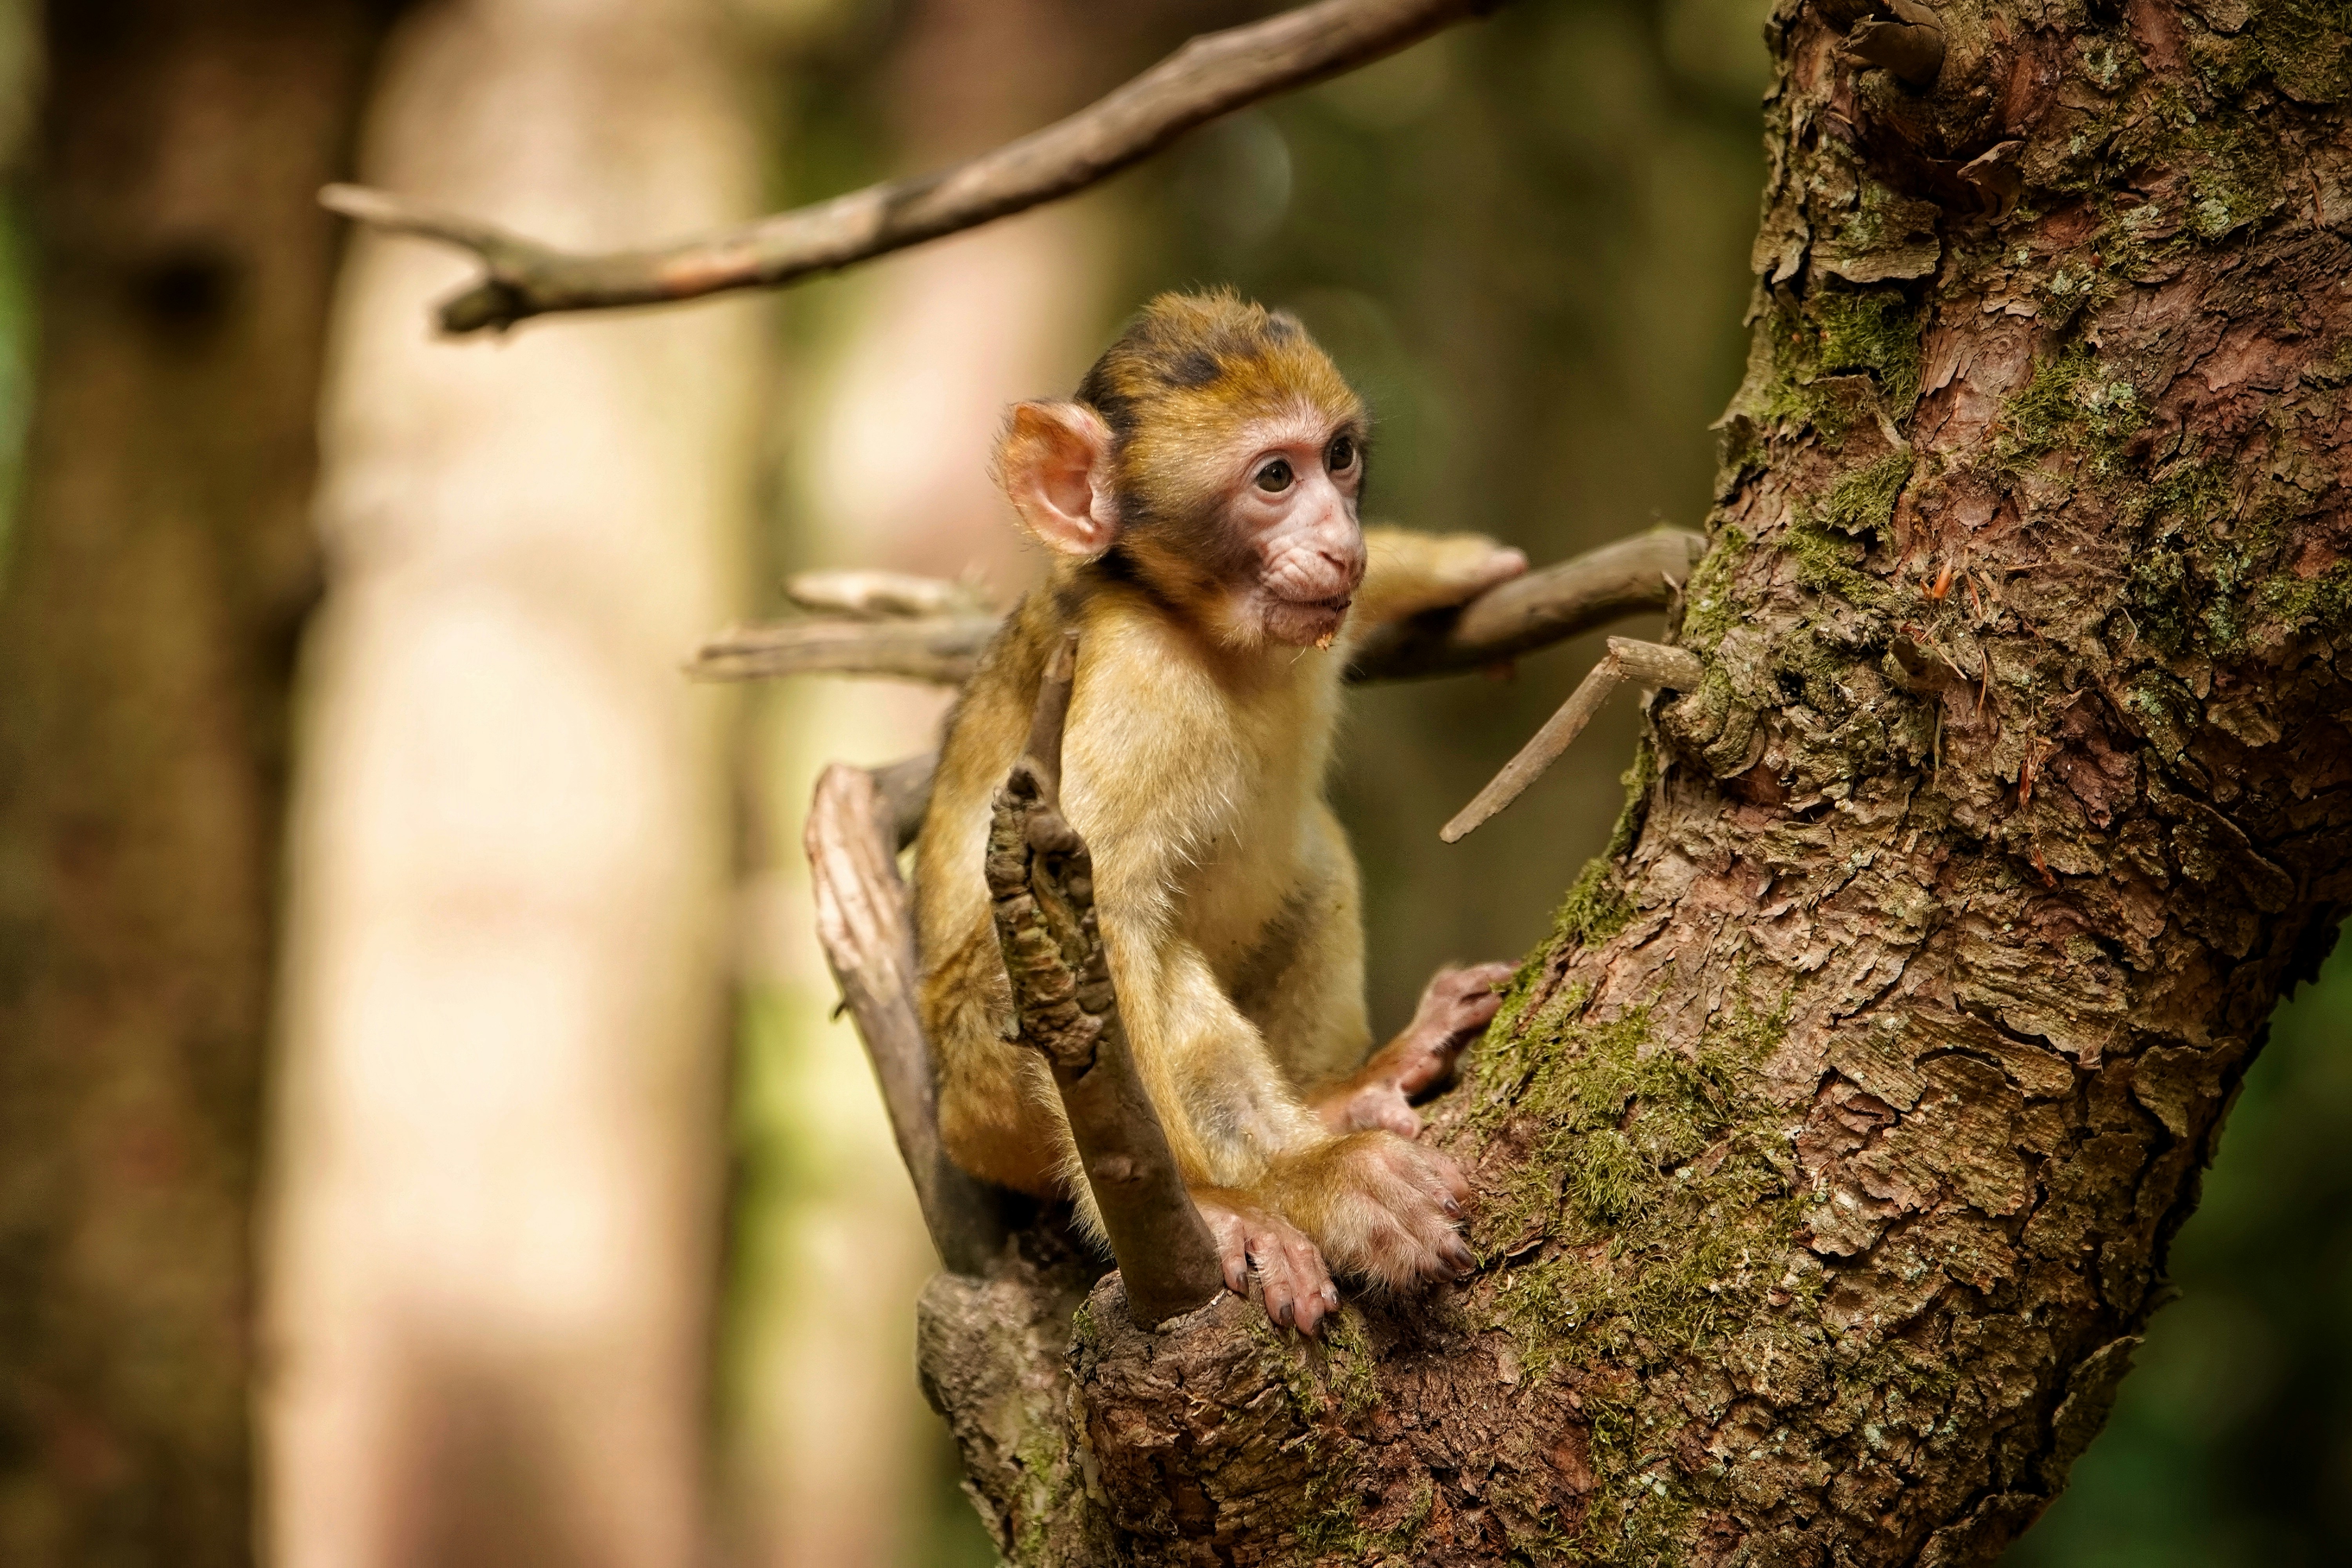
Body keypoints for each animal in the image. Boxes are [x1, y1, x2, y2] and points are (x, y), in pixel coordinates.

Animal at [914, 290, 1527, 1334]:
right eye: (1274, 477)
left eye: (1339, 458)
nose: (1342, 542)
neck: (1207, 634)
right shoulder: (1132, 678)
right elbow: (1089, 925)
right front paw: (1238, 1200)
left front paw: (1459, 568)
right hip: (979, 1101)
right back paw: (1293, 1175)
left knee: (1315, 857)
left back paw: (1348, 1092)